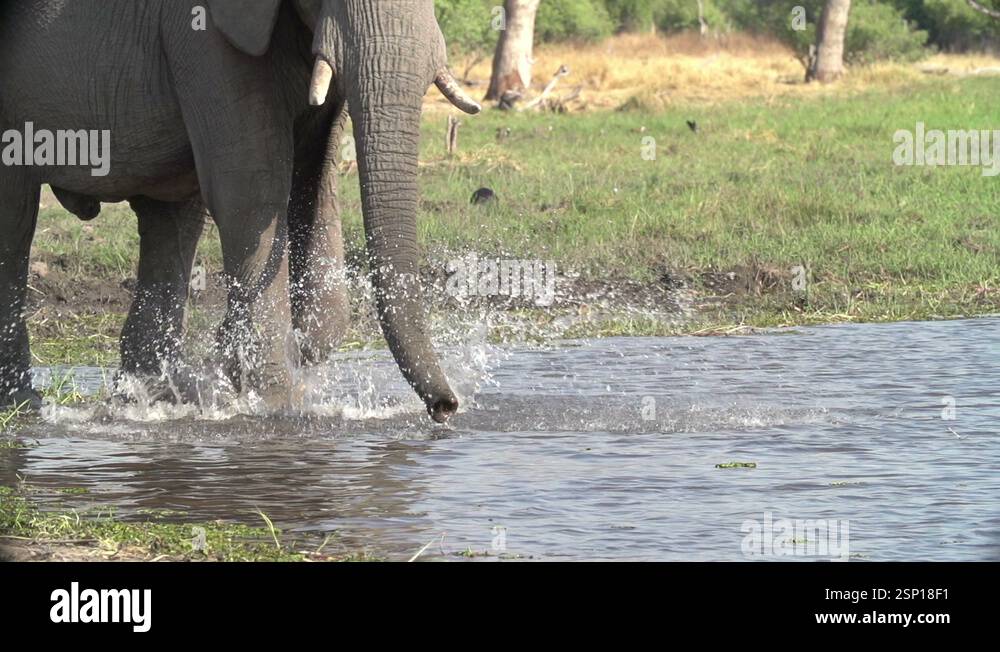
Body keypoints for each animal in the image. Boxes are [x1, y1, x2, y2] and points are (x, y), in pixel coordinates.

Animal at [0, 0, 481, 422]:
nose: (445, 408)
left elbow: (315, 180)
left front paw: (246, 364)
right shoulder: (203, 30)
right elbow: (251, 188)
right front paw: (274, 404)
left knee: (170, 220)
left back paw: (148, 399)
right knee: (16, 217)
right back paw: (26, 406)